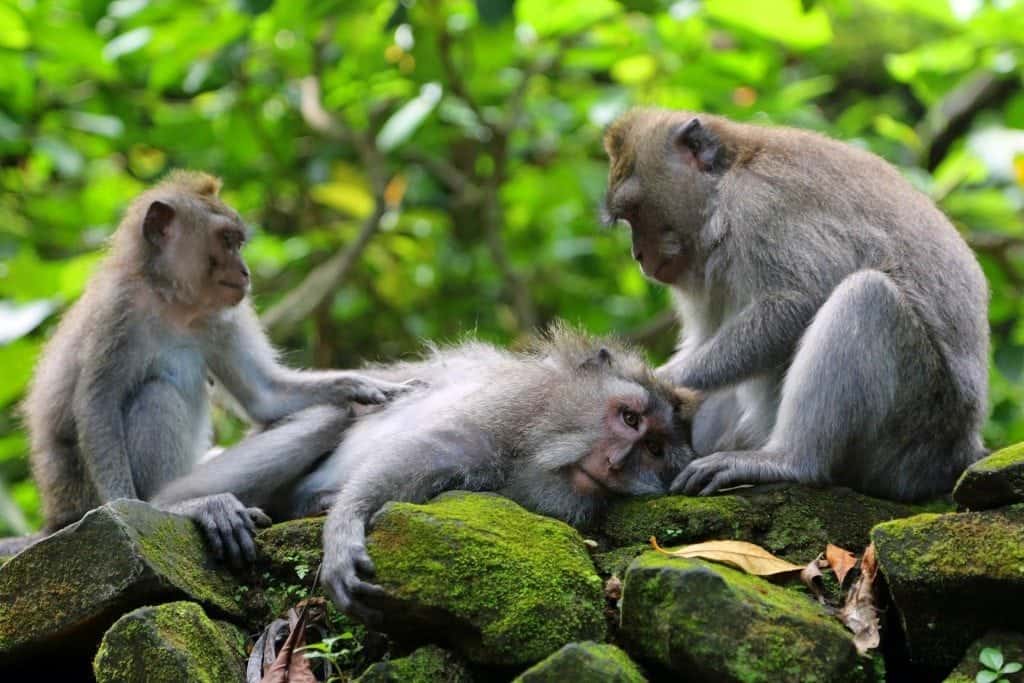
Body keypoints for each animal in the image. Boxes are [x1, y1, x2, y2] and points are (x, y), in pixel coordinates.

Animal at [0, 171, 411, 563]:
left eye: (238, 243)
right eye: (227, 240)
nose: (245, 272)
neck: (173, 301)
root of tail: (56, 517)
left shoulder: (225, 317)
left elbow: (265, 396)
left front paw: (360, 385)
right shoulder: (117, 310)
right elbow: (97, 407)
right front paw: (127, 509)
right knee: (156, 393)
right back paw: (182, 504)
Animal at [152, 325, 701, 620]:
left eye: (654, 449)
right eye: (628, 418)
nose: (614, 463)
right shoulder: (514, 410)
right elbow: (423, 452)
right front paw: (344, 531)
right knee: (331, 413)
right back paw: (192, 504)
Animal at [601, 108, 989, 502]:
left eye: (636, 211)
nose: (638, 255)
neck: (727, 179)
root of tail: (961, 448)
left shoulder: (759, 205)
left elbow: (796, 303)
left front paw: (659, 379)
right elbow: (704, 338)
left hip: (916, 428)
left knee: (867, 297)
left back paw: (789, 460)